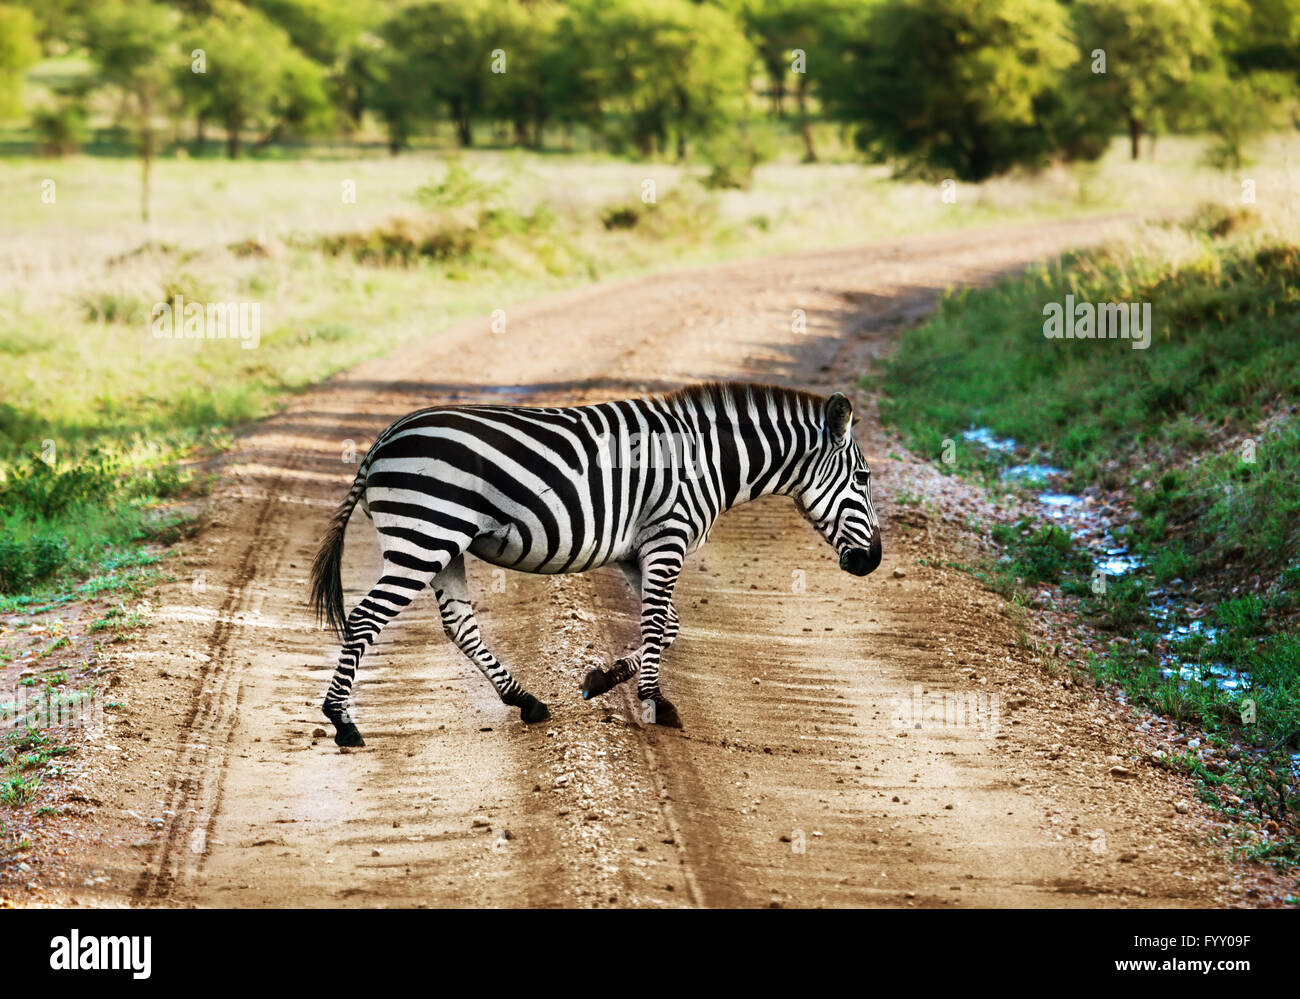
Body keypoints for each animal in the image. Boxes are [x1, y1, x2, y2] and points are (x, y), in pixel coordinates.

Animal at [311, 382, 882, 747]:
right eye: (863, 478)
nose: (872, 562)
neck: (709, 461)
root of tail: (384, 439)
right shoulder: (667, 536)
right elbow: (656, 625)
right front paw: (655, 703)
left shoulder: (637, 551)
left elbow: (669, 626)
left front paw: (602, 680)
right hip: (425, 536)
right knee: (365, 619)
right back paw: (342, 722)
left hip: (444, 543)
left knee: (459, 626)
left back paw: (526, 701)